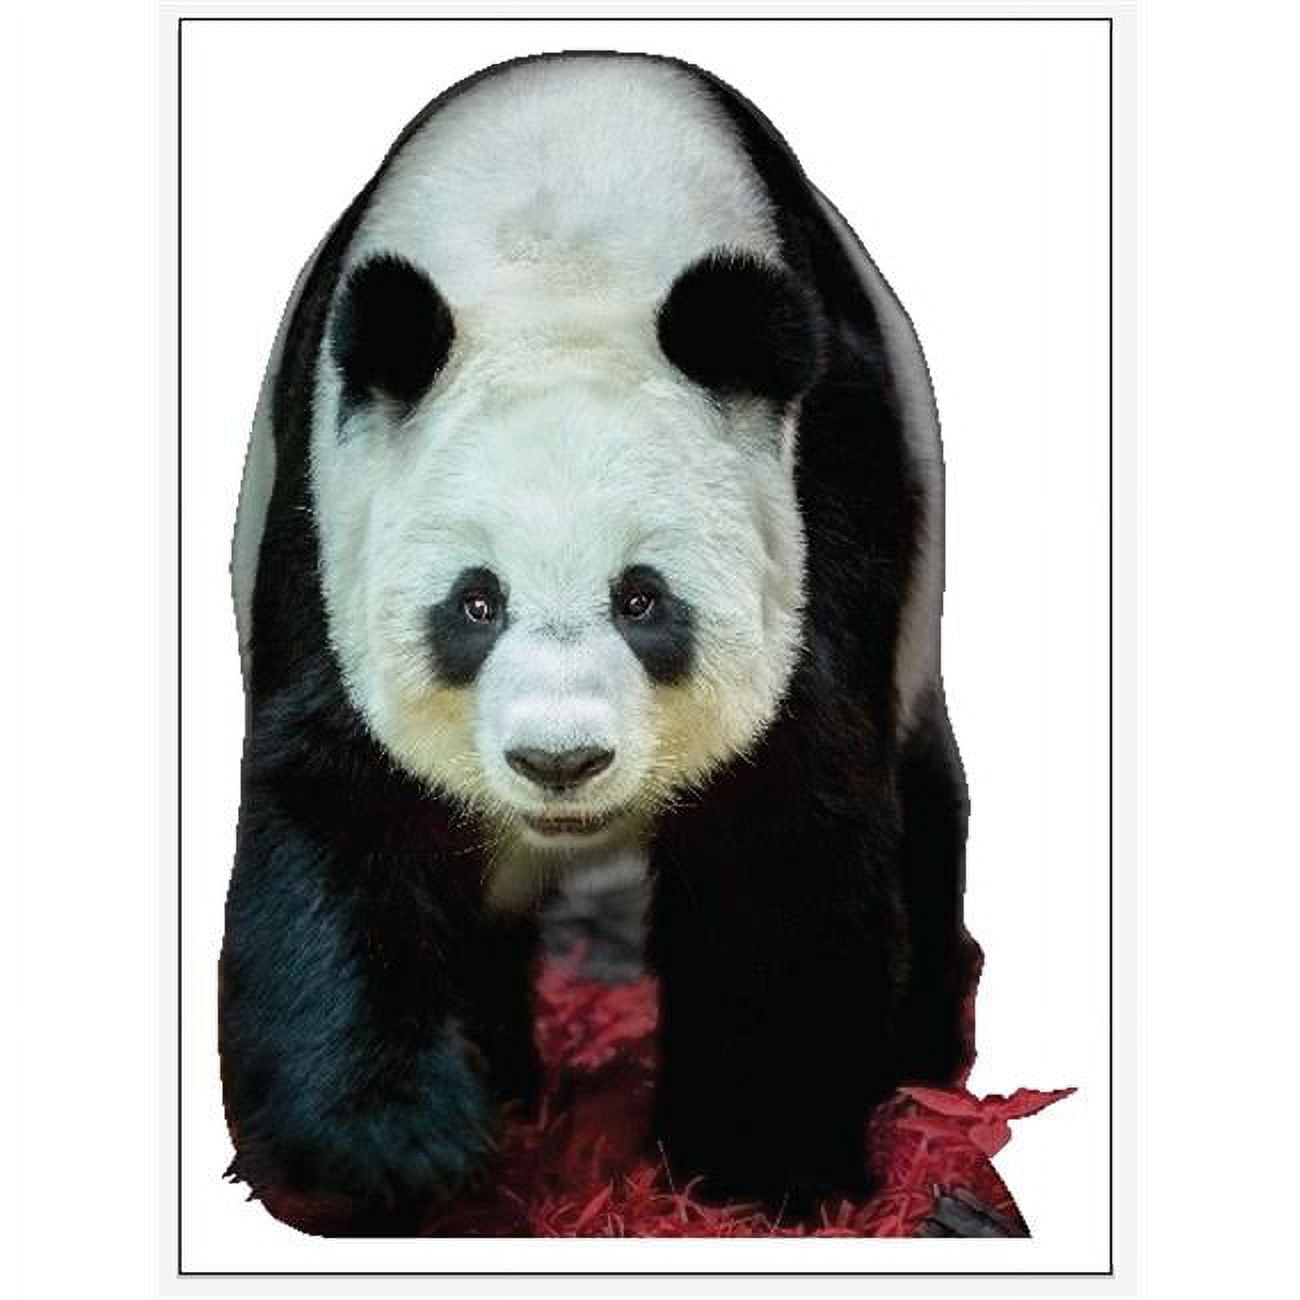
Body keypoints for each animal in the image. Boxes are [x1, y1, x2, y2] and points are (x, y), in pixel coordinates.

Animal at [220, 50, 972, 1233]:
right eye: (475, 605)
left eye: (642, 601)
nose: (559, 761)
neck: (559, 247)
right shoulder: (327, 516)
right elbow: (341, 808)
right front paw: (389, 1152)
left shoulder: (819, 506)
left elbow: (788, 824)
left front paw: (759, 1167)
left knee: (921, 800)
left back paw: (922, 1057)